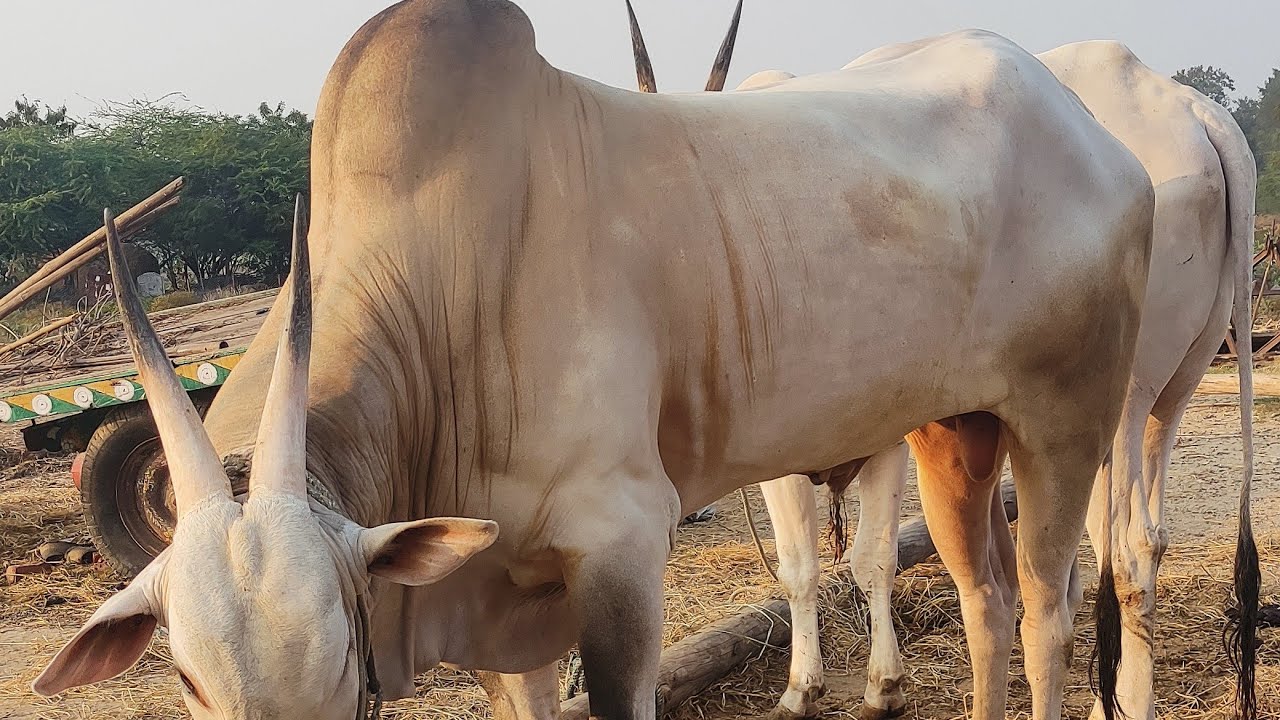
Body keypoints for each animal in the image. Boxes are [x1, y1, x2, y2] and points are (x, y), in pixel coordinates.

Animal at [31, 3, 1155, 720]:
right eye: (185, 677)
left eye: (339, 643)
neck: (445, 286)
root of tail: (1094, 134)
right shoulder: (488, 589)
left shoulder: (621, 548)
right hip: (951, 428)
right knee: (985, 601)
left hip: (1067, 421)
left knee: (1047, 608)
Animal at [753, 40, 1260, 720]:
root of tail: (1198, 116)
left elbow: (821, 563)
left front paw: (814, 687)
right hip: (1174, 392)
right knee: (1149, 537)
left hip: (1112, 404)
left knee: (1125, 549)